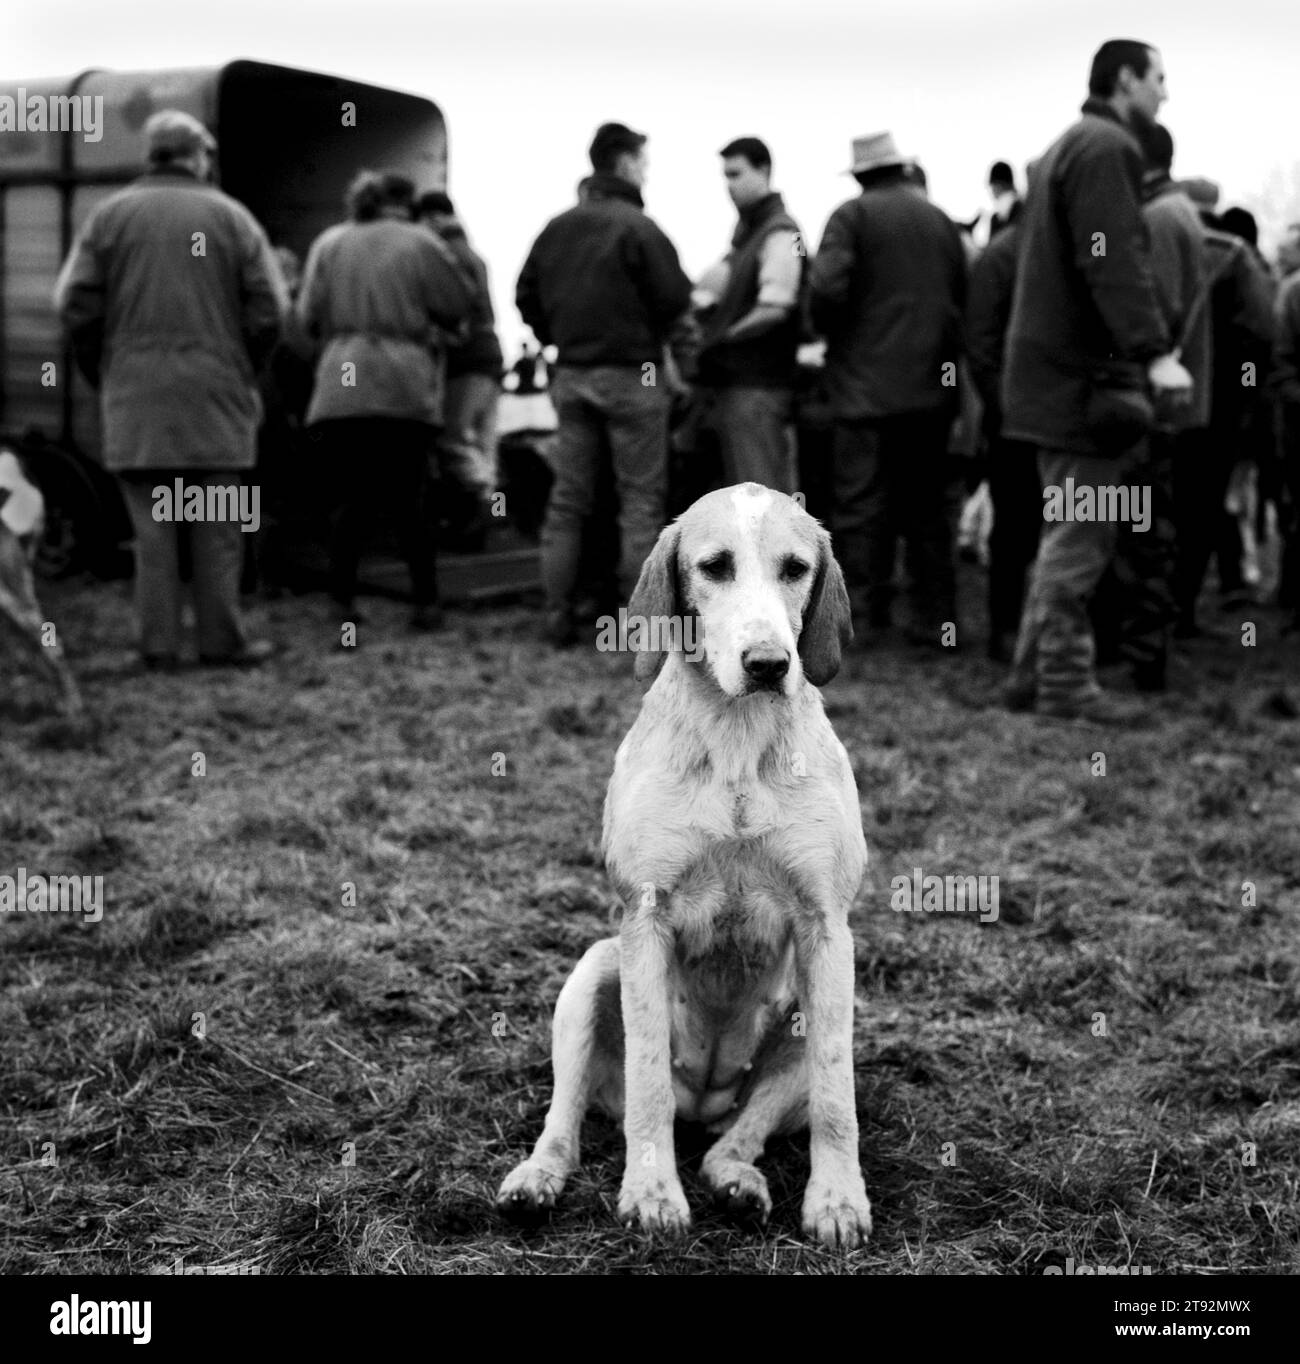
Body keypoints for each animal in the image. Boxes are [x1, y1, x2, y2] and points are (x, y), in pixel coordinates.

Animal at [496, 482, 873, 1249]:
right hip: (593, 972)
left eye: (796, 568)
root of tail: (704, 1103)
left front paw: (838, 1199)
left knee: (736, 1138)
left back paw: (736, 1180)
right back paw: (539, 1177)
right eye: (714, 566)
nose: (769, 664)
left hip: (810, 1013)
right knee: (570, 1116)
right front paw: (649, 1192)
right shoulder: (643, 920)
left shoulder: (828, 930)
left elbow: (836, 1096)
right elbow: (645, 1079)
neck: (736, 738)